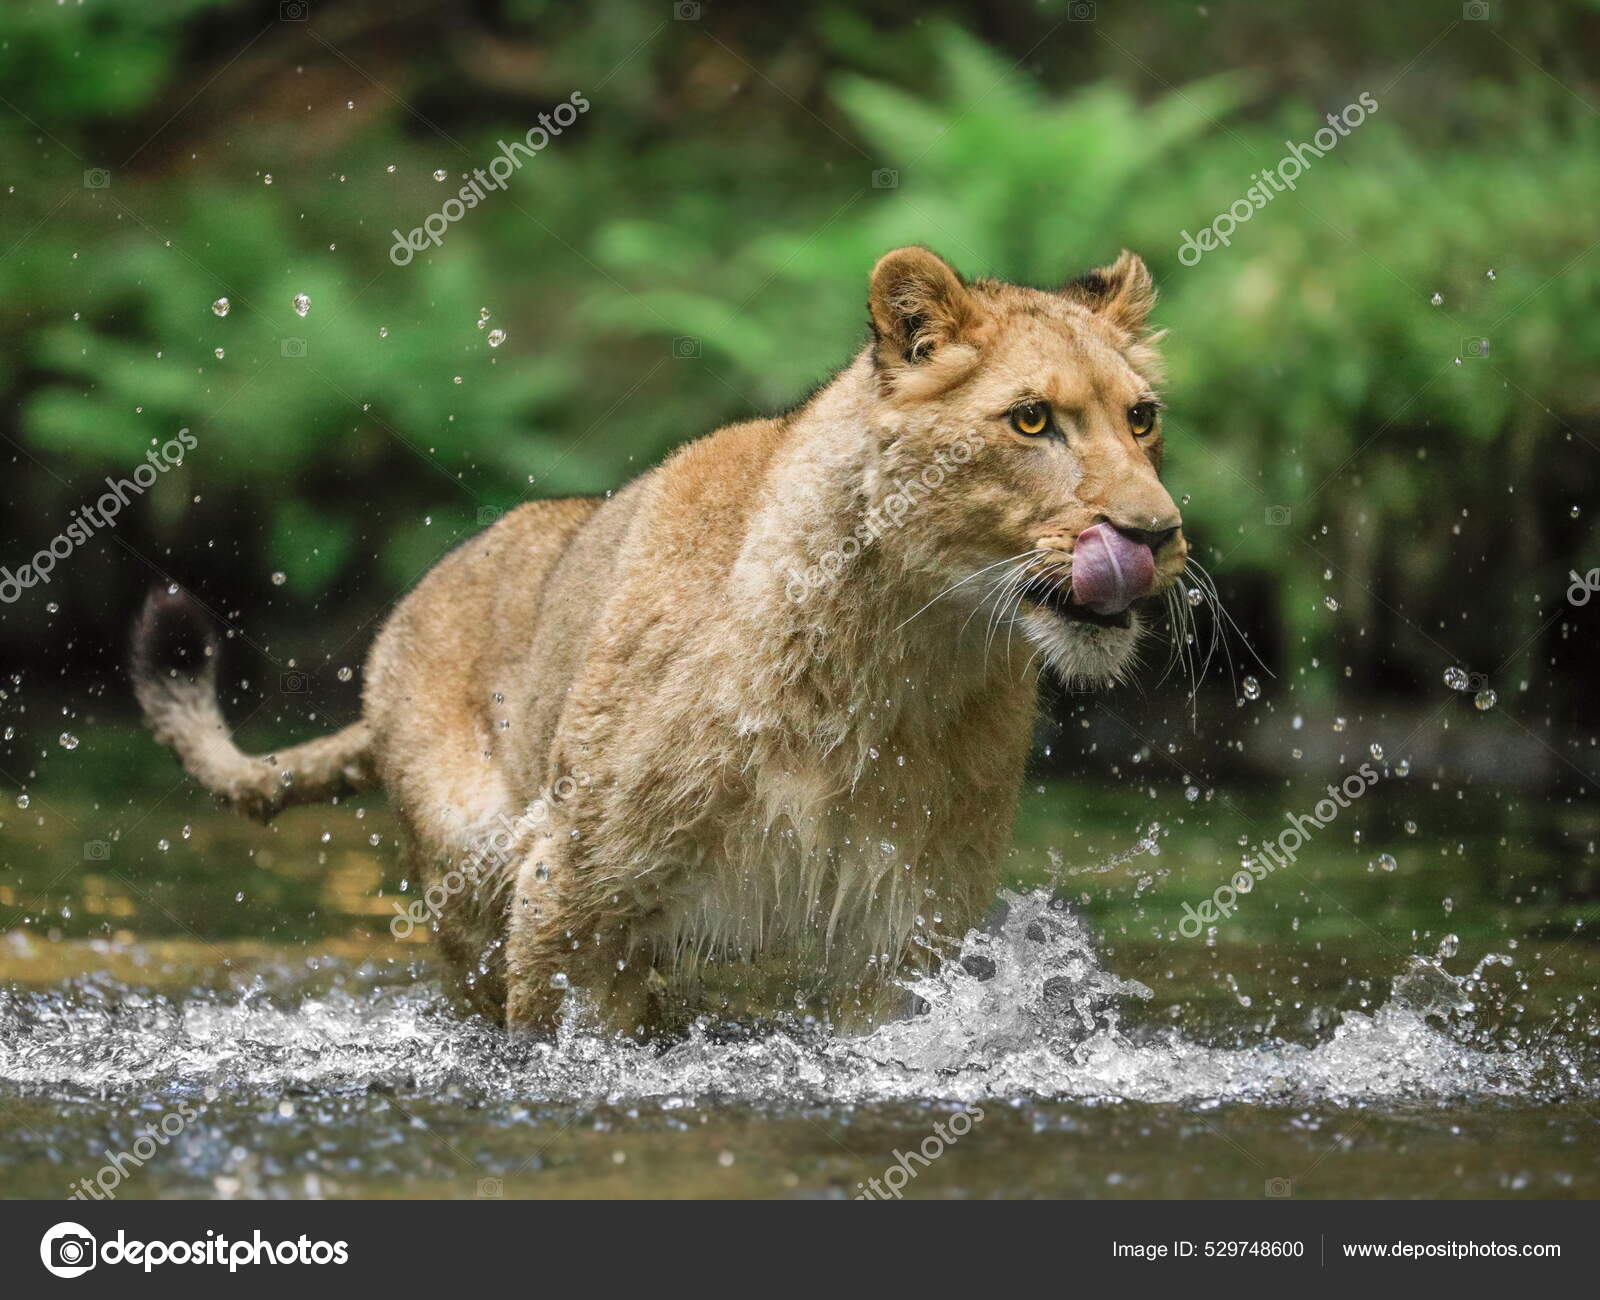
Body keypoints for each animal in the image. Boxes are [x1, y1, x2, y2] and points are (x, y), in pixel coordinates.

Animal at [133, 246, 1188, 1037]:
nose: (1157, 534)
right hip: (472, 872)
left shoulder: (904, 934)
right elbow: (554, 1031)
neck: (899, 654)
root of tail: (402, 616)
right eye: (1032, 420)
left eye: (1142, 419)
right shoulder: (572, 878)